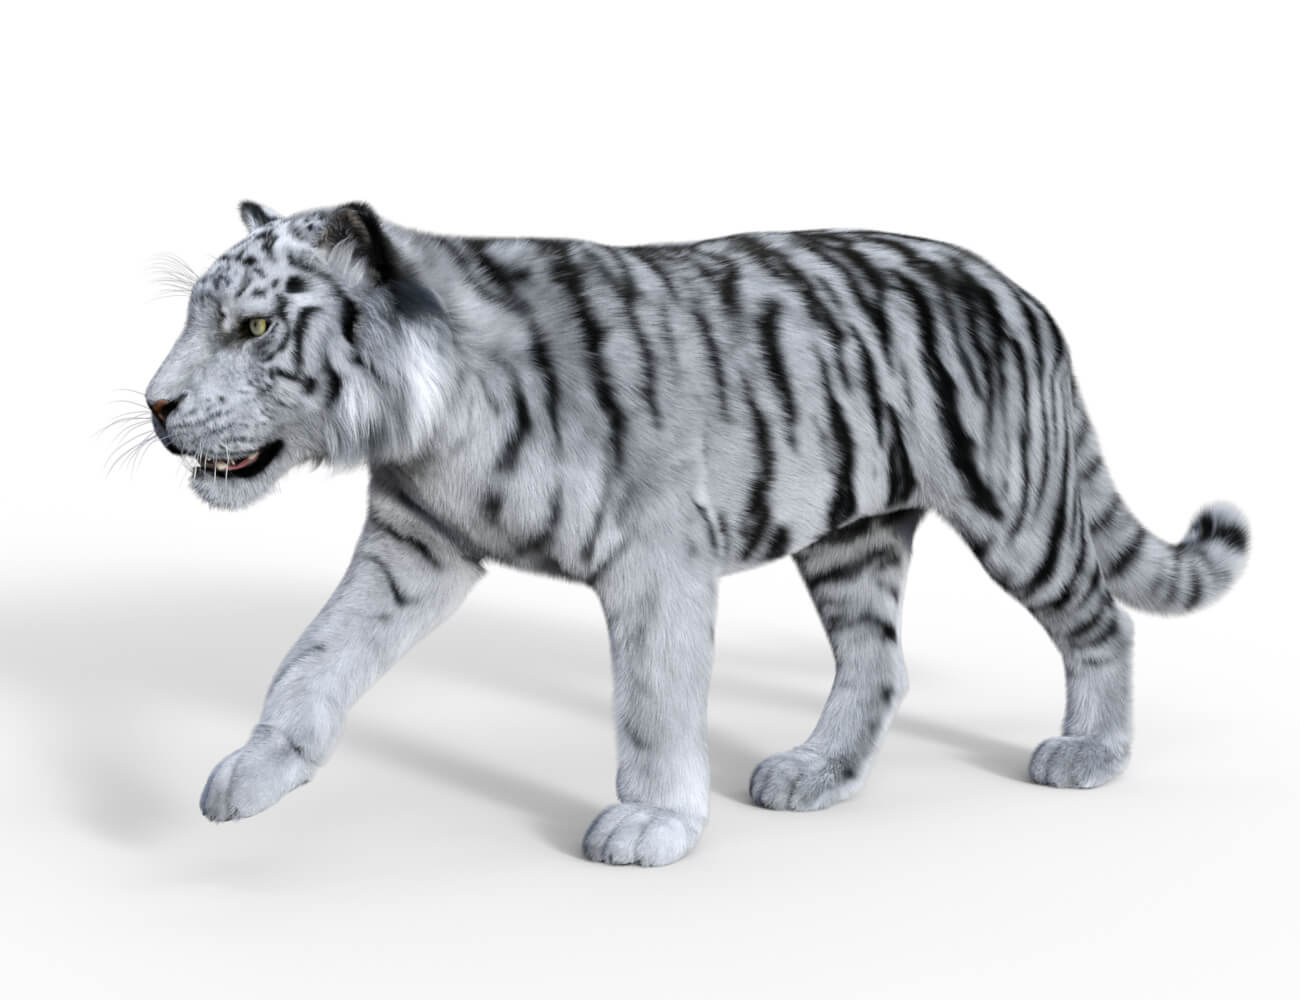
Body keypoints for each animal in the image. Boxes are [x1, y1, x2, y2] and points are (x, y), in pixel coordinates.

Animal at [144, 200, 1249, 867]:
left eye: (252, 328)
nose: (154, 407)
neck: (426, 420)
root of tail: (1025, 295)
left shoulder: (657, 556)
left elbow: (653, 702)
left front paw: (653, 823)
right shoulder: (411, 546)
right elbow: (314, 656)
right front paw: (255, 773)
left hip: (1016, 506)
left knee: (1103, 621)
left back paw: (1089, 753)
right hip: (853, 539)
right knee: (878, 662)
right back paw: (813, 774)